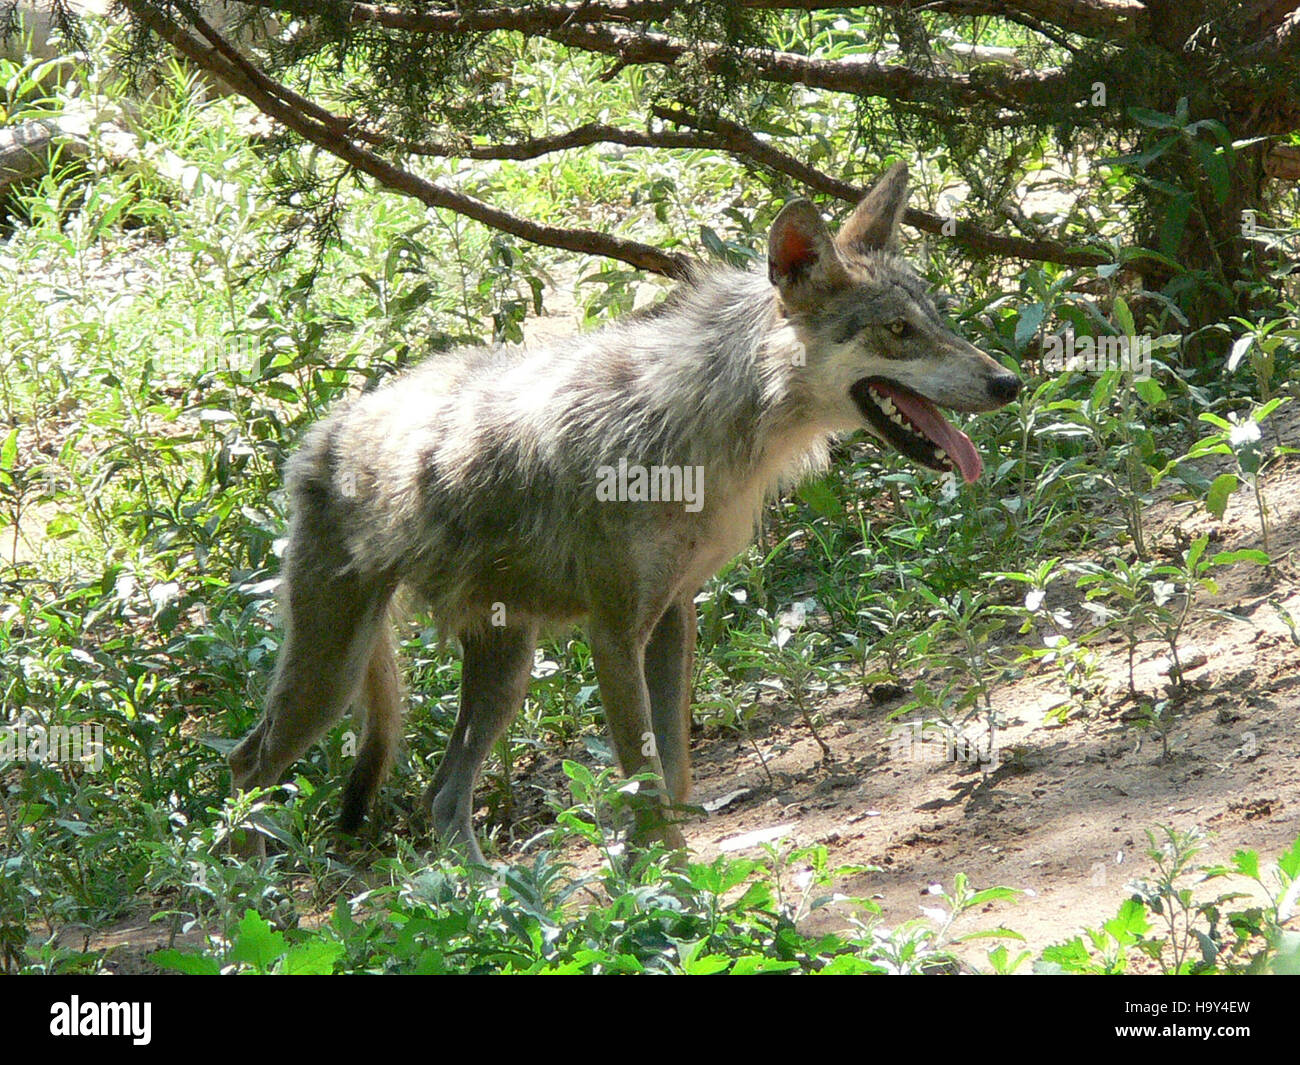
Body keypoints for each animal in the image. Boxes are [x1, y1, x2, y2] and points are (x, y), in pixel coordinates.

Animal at [229, 163, 1021, 863]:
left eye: (936, 318)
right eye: (897, 331)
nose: (1009, 382)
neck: (699, 433)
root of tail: (327, 427)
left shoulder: (674, 615)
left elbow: (675, 775)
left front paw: (667, 884)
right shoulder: (614, 633)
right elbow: (645, 788)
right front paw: (674, 895)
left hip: (505, 669)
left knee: (442, 799)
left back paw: (494, 903)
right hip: (329, 681)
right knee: (245, 770)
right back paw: (248, 904)